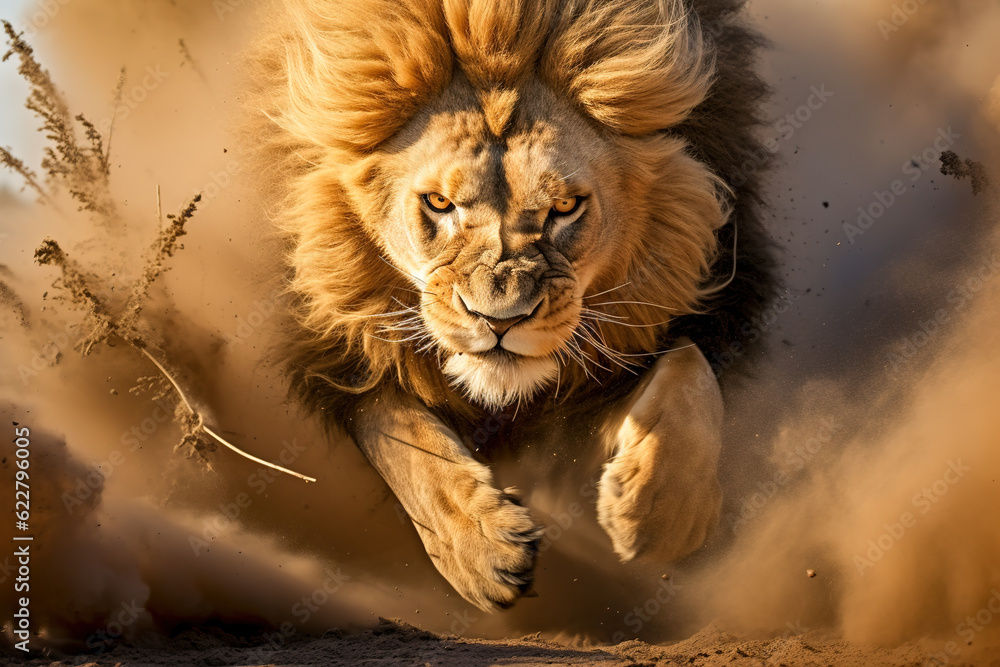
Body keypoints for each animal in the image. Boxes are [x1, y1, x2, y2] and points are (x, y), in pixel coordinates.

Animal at [248, 0, 775, 611]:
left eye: (564, 207)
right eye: (439, 202)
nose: (500, 320)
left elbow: (690, 367)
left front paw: (662, 511)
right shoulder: (333, 351)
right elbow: (399, 432)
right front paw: (481, 549)